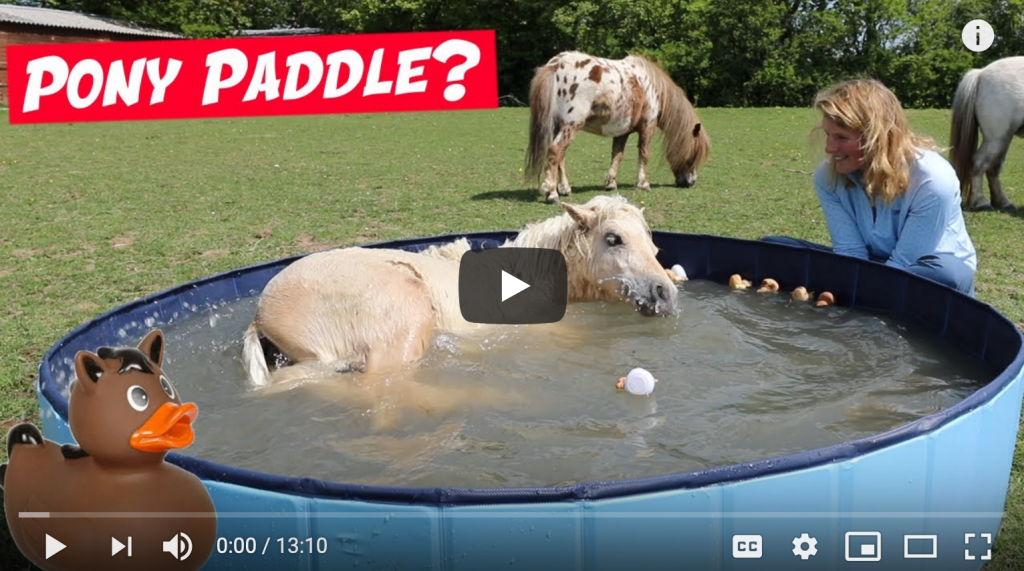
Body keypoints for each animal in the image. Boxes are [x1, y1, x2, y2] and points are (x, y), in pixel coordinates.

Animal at [524, 51, 710, 204]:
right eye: (694, 155)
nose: (691, 182)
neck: (650, 87)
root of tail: (555, 65)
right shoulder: (648, 126)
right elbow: (644, 154)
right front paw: (643, 183)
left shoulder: (622, 131)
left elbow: (617, 155)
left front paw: (611, 183)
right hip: (570, 126)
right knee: (556, 150)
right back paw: (552, 194)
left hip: (559, 126)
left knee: (560, 156)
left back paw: (564, 188)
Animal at [949, 56, 1024, 211]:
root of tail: (980, 73)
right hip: (997, 138)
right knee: (980, 162)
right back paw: (980, 202)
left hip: (1002, 139)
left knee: (993, 166)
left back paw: (1002, 202)